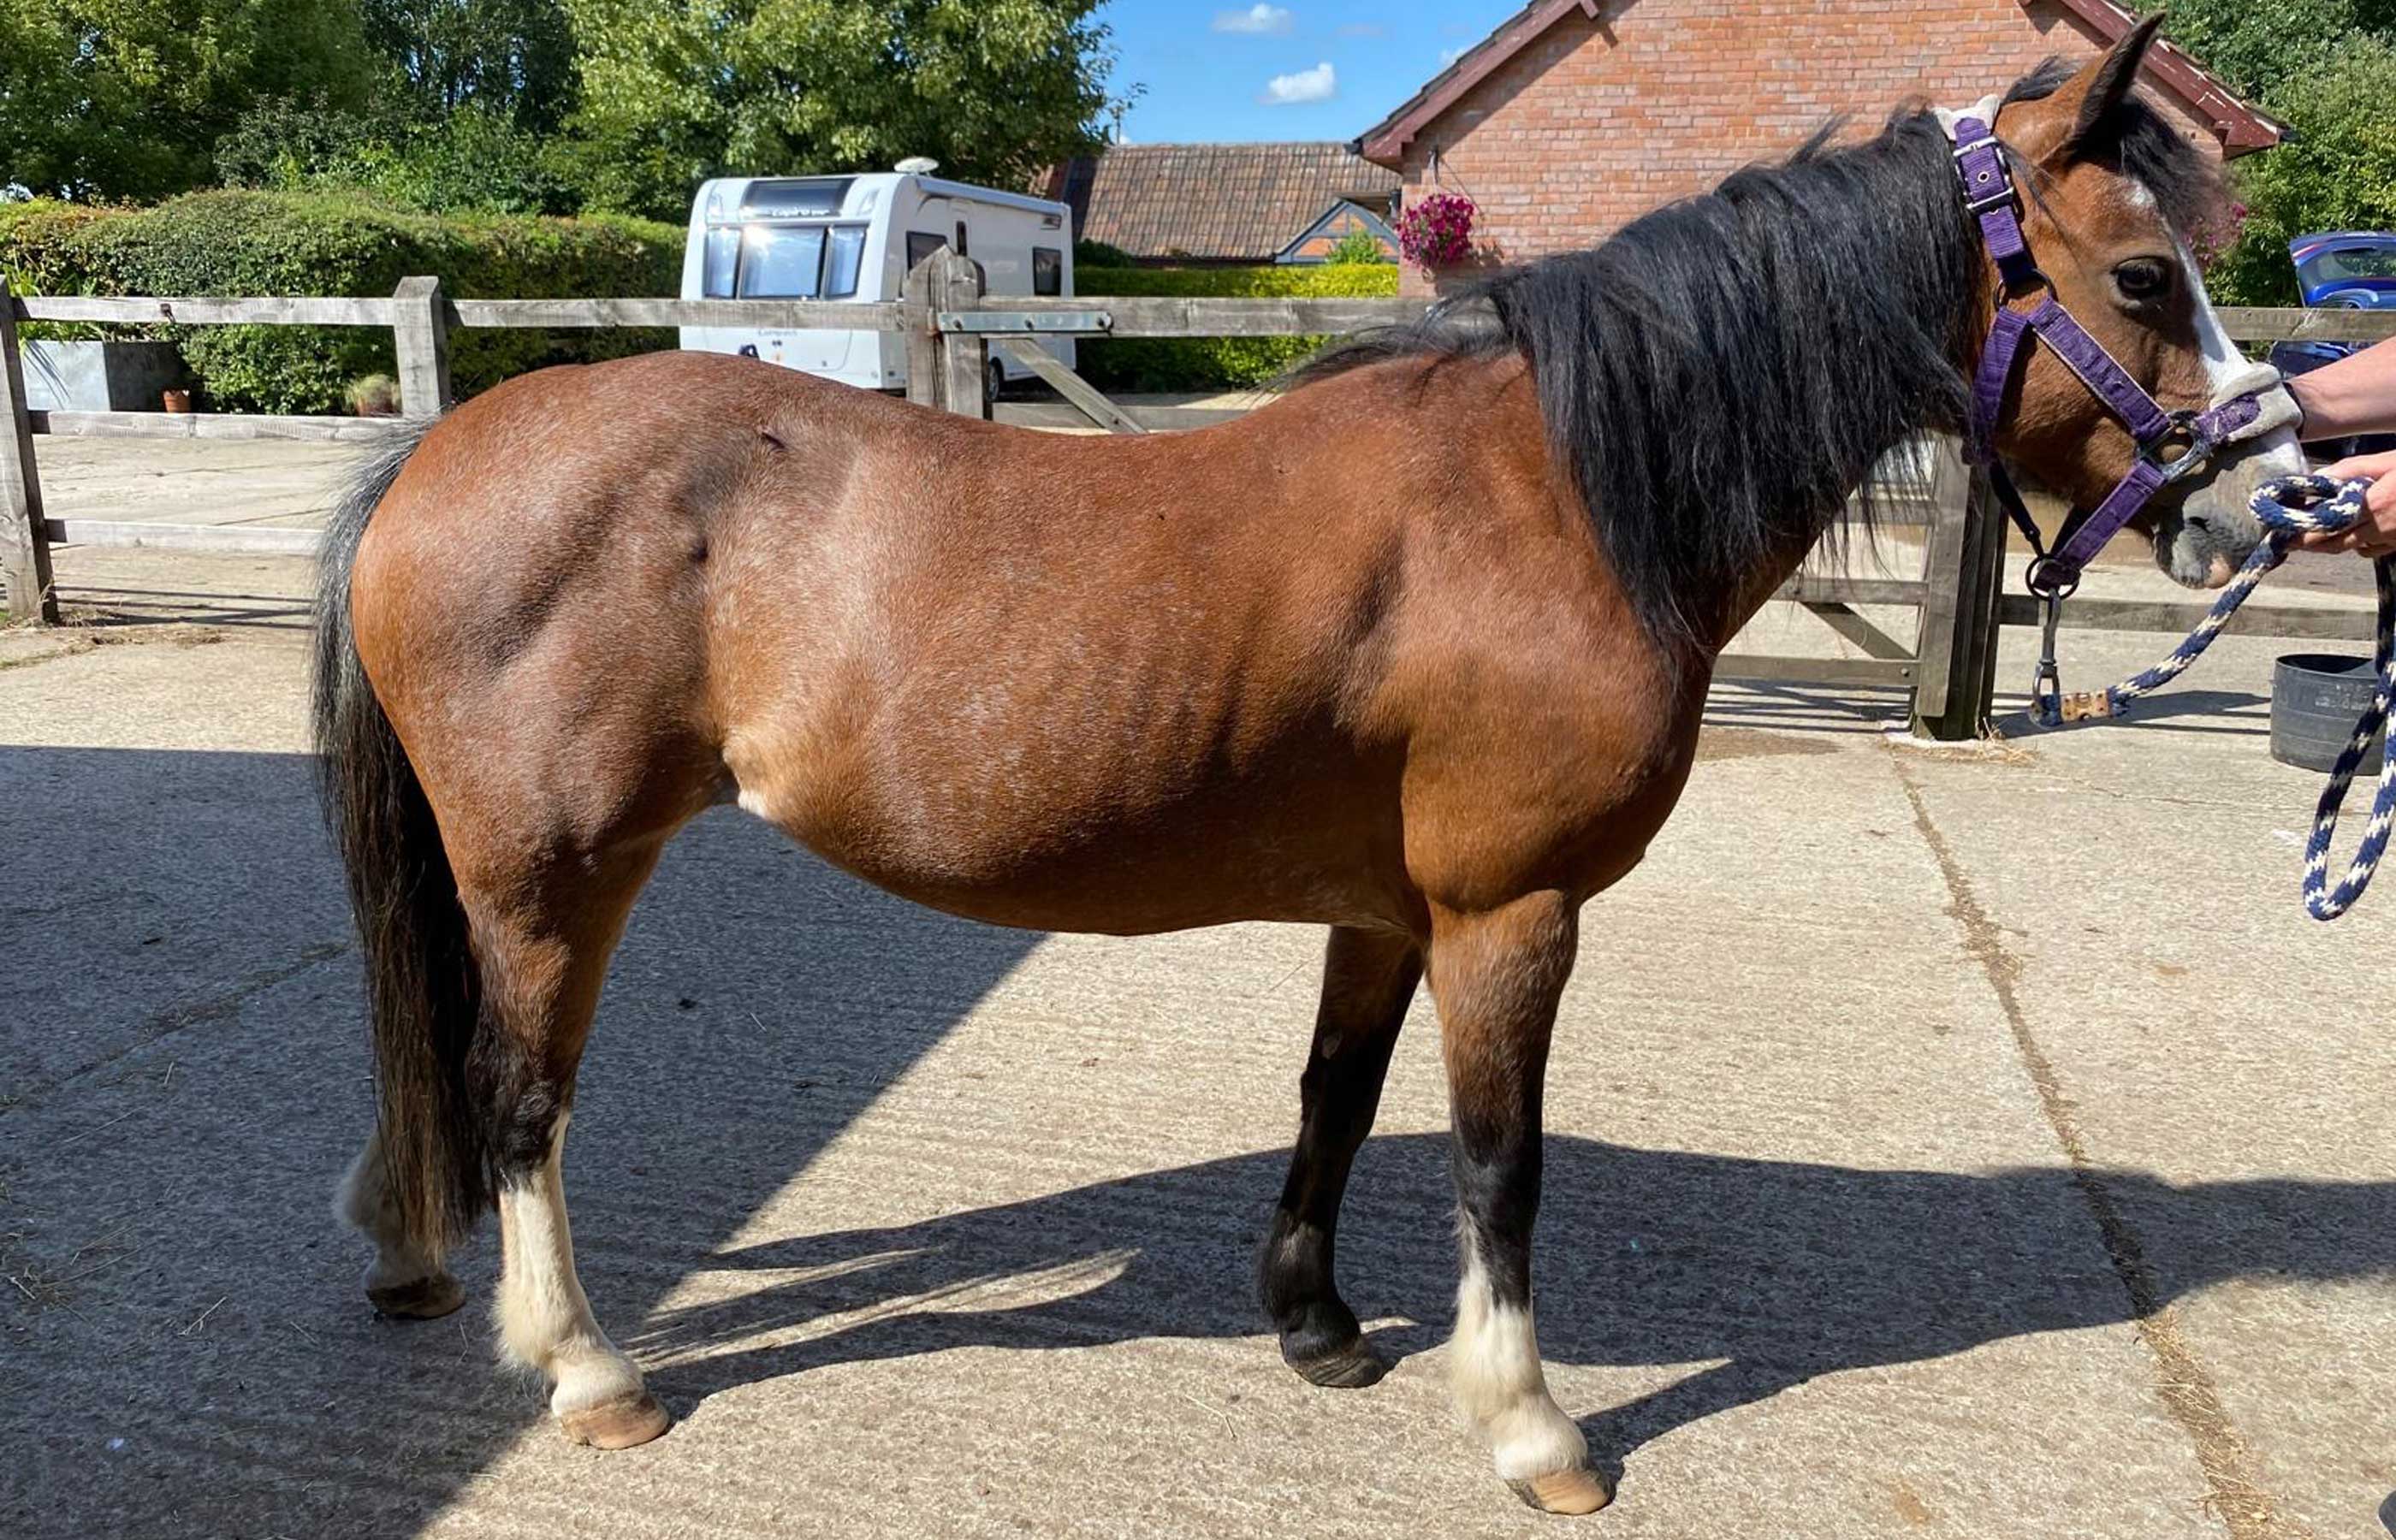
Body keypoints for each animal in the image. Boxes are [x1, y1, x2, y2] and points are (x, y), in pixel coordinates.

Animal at [315, 19, 2302, 1514]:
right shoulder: (1510, 910)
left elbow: (1334, 1102)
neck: (1558, 492)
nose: (2265, 505)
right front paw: (1530, 1425)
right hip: (552, 876)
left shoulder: (1391, 911)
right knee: (516, 1105)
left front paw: (1319, 1327)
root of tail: (437, 455)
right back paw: (588, 1373)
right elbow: (1498, 1164)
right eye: (2144, 271)